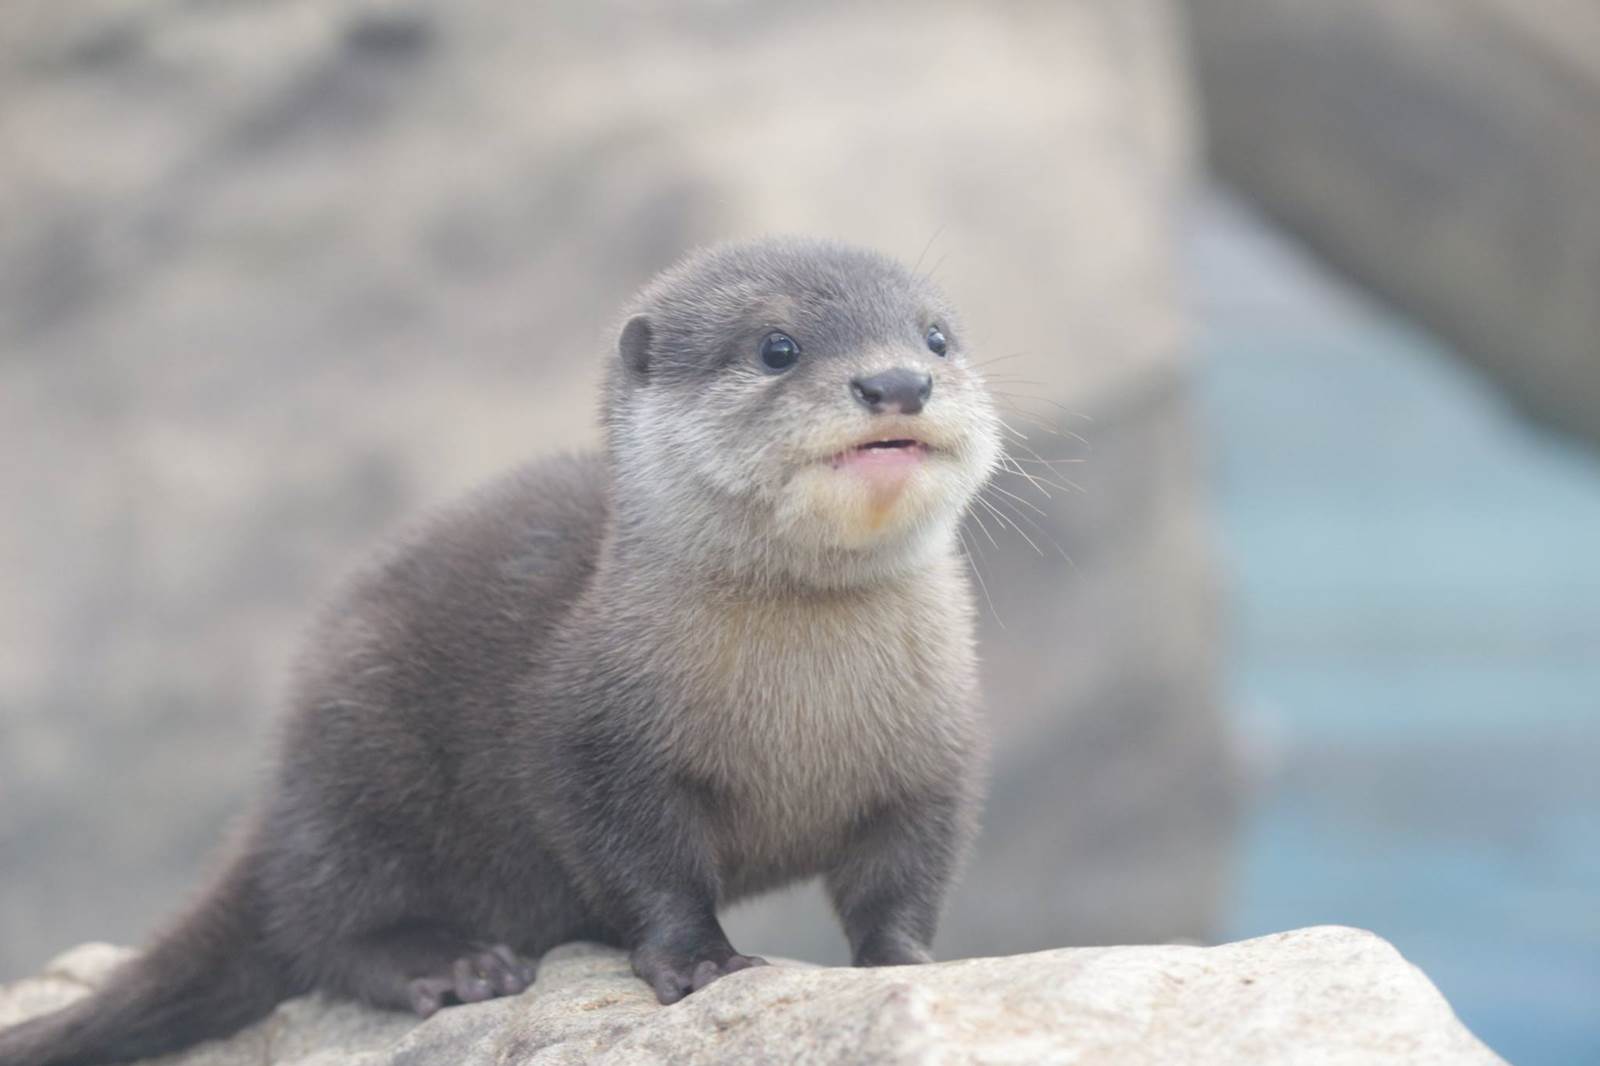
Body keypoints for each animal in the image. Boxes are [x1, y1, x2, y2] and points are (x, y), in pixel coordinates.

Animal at [0, 237, 1003, 1066]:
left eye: (936, 338)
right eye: (778, 347)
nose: (896, 383)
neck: (801, 714)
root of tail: (275, 797)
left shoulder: (936, 756)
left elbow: (904, 879)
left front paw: (905, 962)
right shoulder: (589, 736)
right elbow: (642, 867)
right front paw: (699, 963)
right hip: (361, 756)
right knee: (320, 923)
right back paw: (452, 967)